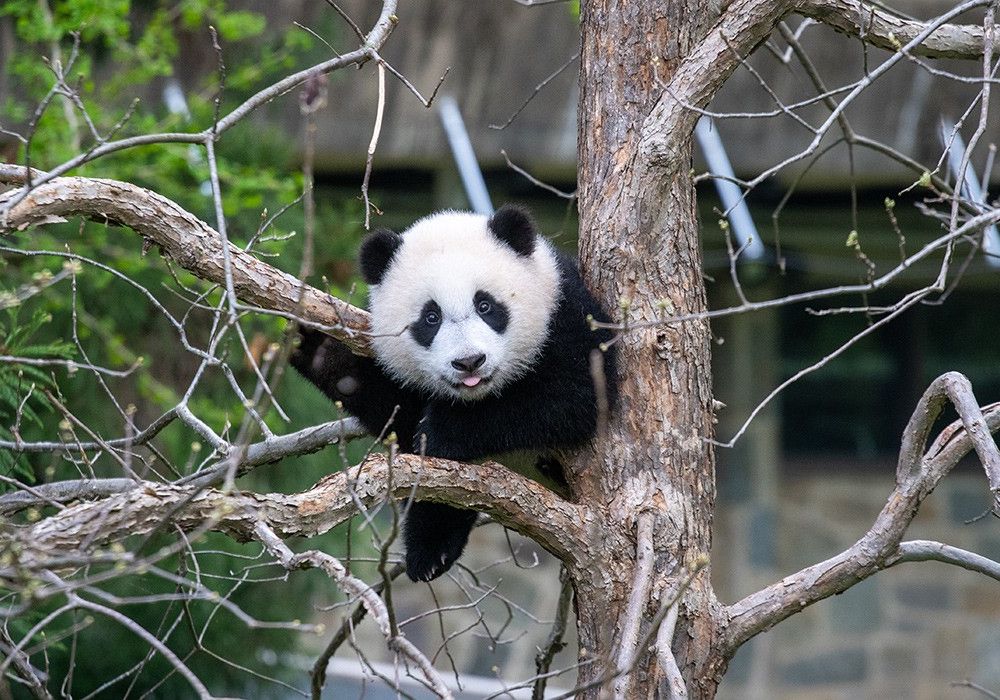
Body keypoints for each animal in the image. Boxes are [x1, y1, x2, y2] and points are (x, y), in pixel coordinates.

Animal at [292, 205, 616, 582]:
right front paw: (316, 346)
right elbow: (394, 409)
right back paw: (430, 552)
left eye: (485, 305)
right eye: (431, 317)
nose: (469, 362)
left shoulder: (566, 308)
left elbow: (574, 395)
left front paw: (442, 430)